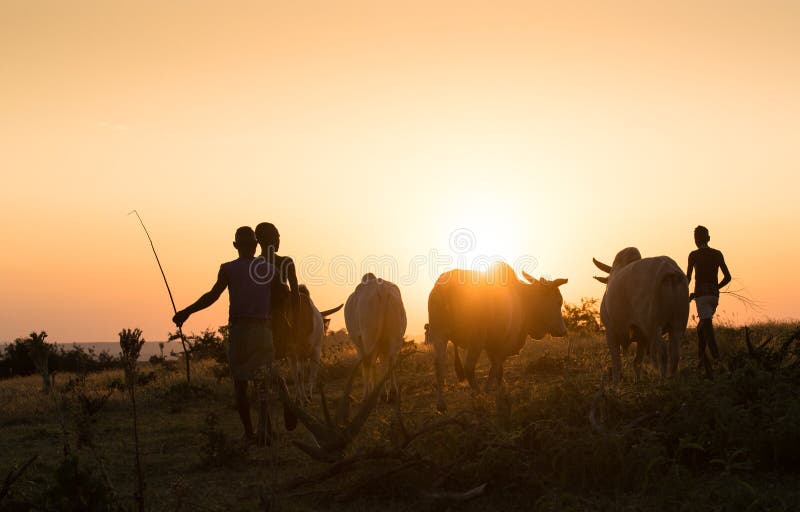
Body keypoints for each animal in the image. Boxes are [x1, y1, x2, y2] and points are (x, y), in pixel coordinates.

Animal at [344, 273, 407, 401]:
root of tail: (381, 290)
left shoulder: (358, 343)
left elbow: (365, 364)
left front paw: (367, 393)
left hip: (369, 336)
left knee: (370, 361)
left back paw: (374, 395)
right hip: (395, 336)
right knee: (391, 359)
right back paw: (392, 392)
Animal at [427, 262, 568, 412]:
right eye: (558, 301)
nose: (563, 331)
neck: (523, 299)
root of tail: (446, 287)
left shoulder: (492, 346)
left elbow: (498, 370)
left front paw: (500, 390)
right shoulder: (503, 345)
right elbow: (496, 368)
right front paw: (492, 391)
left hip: (439, 334)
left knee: (439, 365)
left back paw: (441, 404)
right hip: (476, 340)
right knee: (468, 367)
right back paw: (479, 394)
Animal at [593, 247, 689, 385]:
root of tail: (668, 269)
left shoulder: (610, 331)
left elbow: (617, 363)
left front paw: (615, 384)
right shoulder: (641, 337)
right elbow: (637, 362)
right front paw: (638, 380)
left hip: (653, 327)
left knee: (663, 351)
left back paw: (662, 380)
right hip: (678, 325)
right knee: (675, 352)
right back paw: (672, 379)